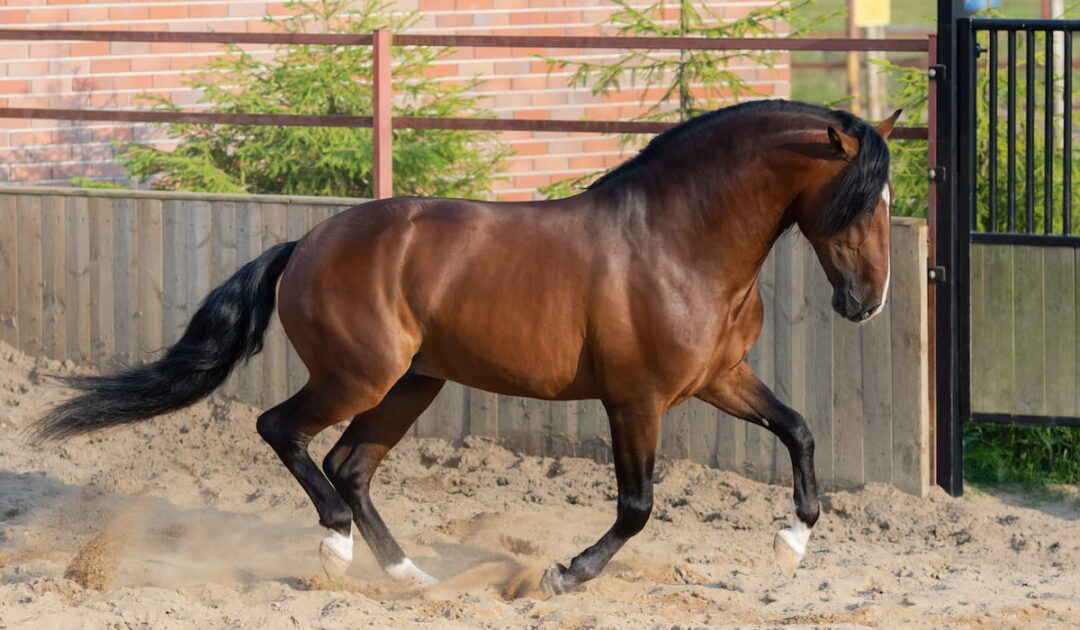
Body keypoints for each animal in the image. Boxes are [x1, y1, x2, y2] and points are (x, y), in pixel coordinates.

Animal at [33, 100, 900, 595]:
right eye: (856, 199)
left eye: (887, 201)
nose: (866, 303)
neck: (675, 241)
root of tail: (306, 243)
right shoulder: (635, 398)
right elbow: (638, 505)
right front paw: (563, 575)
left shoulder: (720, 376)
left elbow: (799, 429)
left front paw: (792, 544)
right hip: (361, 375)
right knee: (283, 431)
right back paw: (337, 553)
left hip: (413, 383)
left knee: (350, 465)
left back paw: (409, 575)